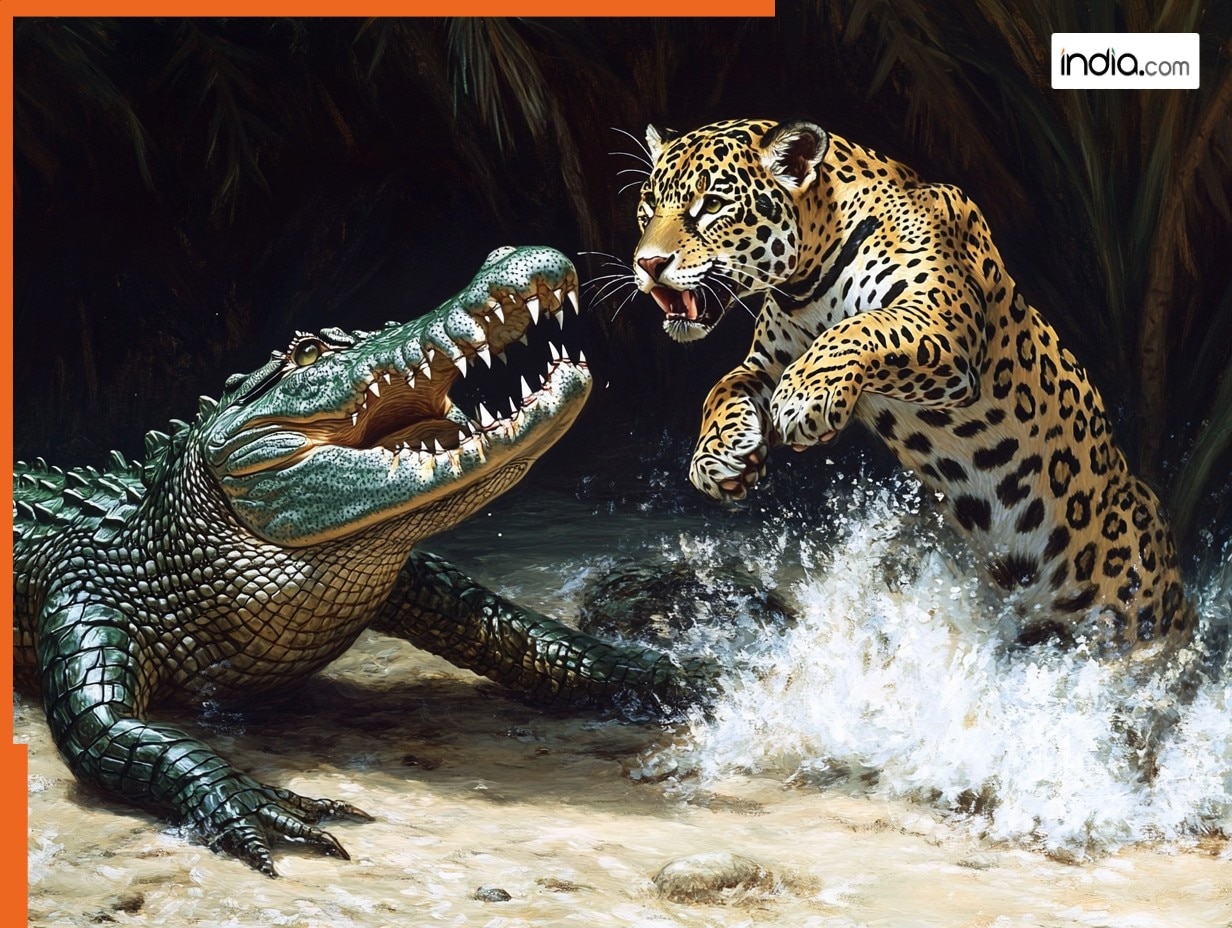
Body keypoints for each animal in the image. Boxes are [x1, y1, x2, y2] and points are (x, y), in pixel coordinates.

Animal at [630, 117, 1196, 674]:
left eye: (711, 205)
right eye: (648, 205)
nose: (648, 264)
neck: (807, 283)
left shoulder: (941, 323)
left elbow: (861, 327)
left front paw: (804, 399)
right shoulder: (766, 361)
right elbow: (722, 387)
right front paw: (721, 457)